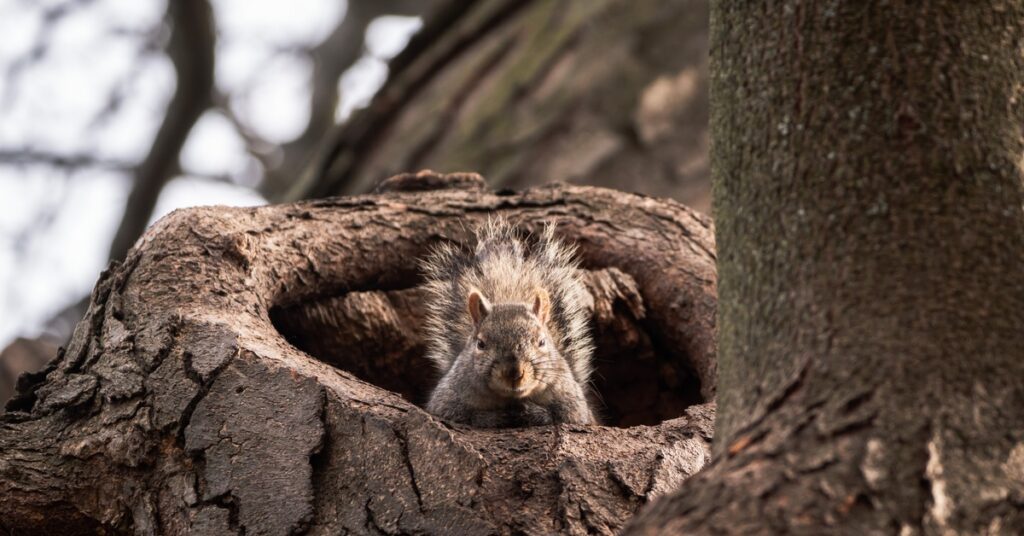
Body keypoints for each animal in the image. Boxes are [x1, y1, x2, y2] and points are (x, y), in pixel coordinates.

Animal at [421, 218, 596, 428]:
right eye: (480, 344)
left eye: (542, 342)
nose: (514, 373)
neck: (511, 399)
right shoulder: (446, 400)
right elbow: (462, 415)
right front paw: (493, 417)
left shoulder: (574, 404)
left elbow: (568, 417)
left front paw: (533, 412)